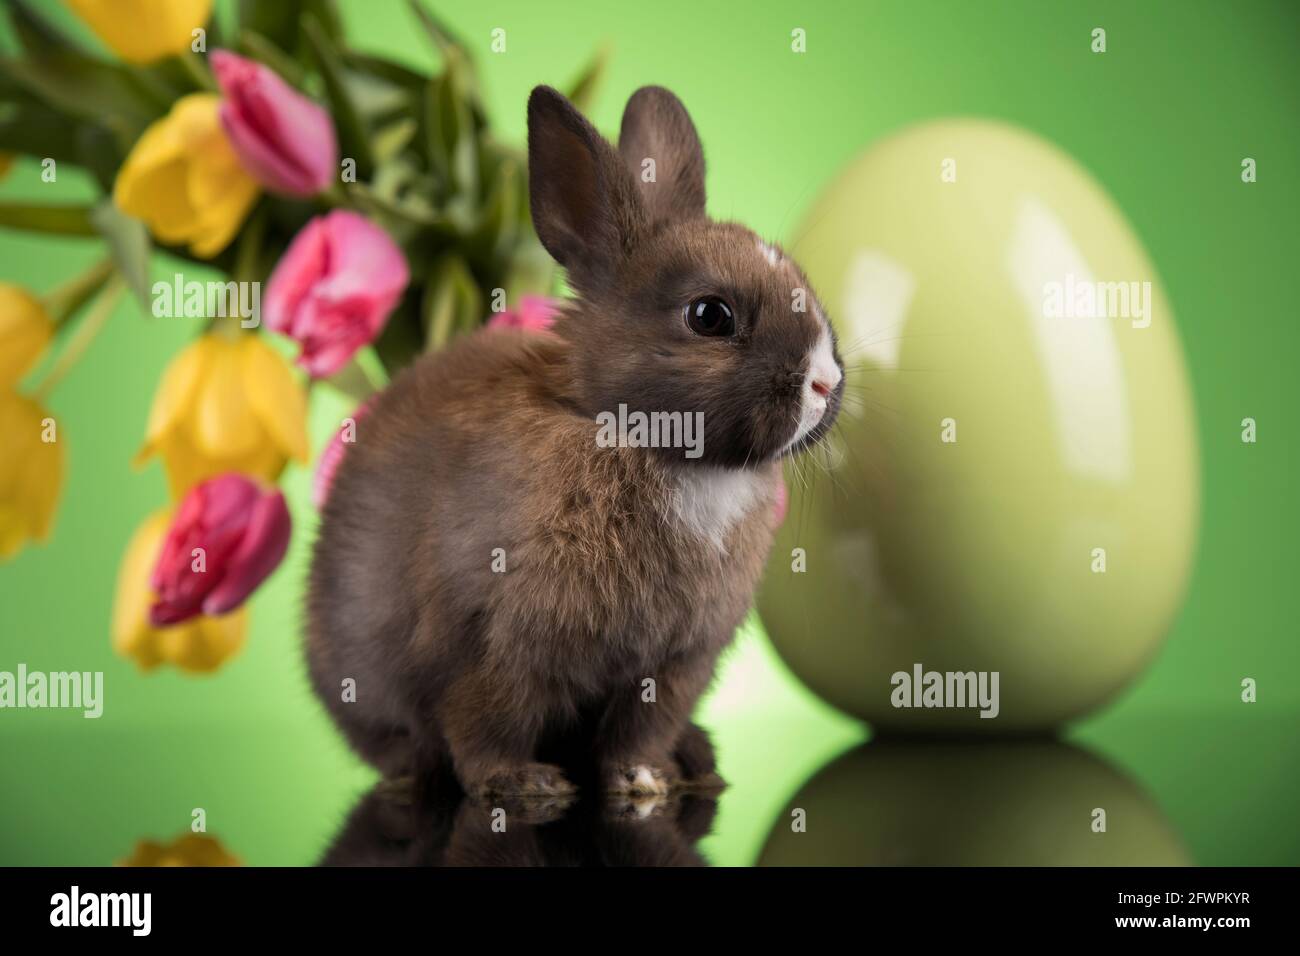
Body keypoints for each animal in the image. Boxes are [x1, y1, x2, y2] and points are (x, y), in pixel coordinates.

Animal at [305, 84, 844, 800]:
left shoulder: (675, 668)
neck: (642, 440)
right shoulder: (496, 646)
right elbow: (486, 723)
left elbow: (640, 730)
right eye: (710, 316)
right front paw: (524, 785)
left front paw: (644, 780)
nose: (826, 381)